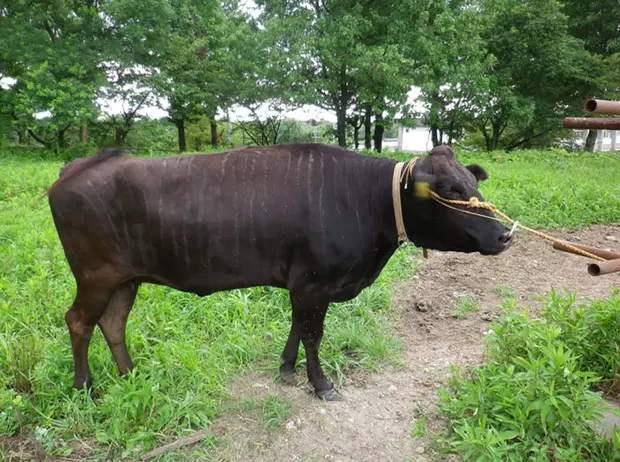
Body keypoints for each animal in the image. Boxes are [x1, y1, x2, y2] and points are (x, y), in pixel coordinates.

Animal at [48, 144, 512, 400]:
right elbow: (312, 334)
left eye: (473, 185)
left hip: (125, 279)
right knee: (79, 322)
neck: (365, 200)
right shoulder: (314, 282)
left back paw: (130, 376)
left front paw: (287, 370)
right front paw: (321, 384)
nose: (505, 233)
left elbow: (296, 327)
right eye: (448, 190)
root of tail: (79, 165)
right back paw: (85, 389)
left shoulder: (301, 283)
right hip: (95, 275)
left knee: (112, 322)